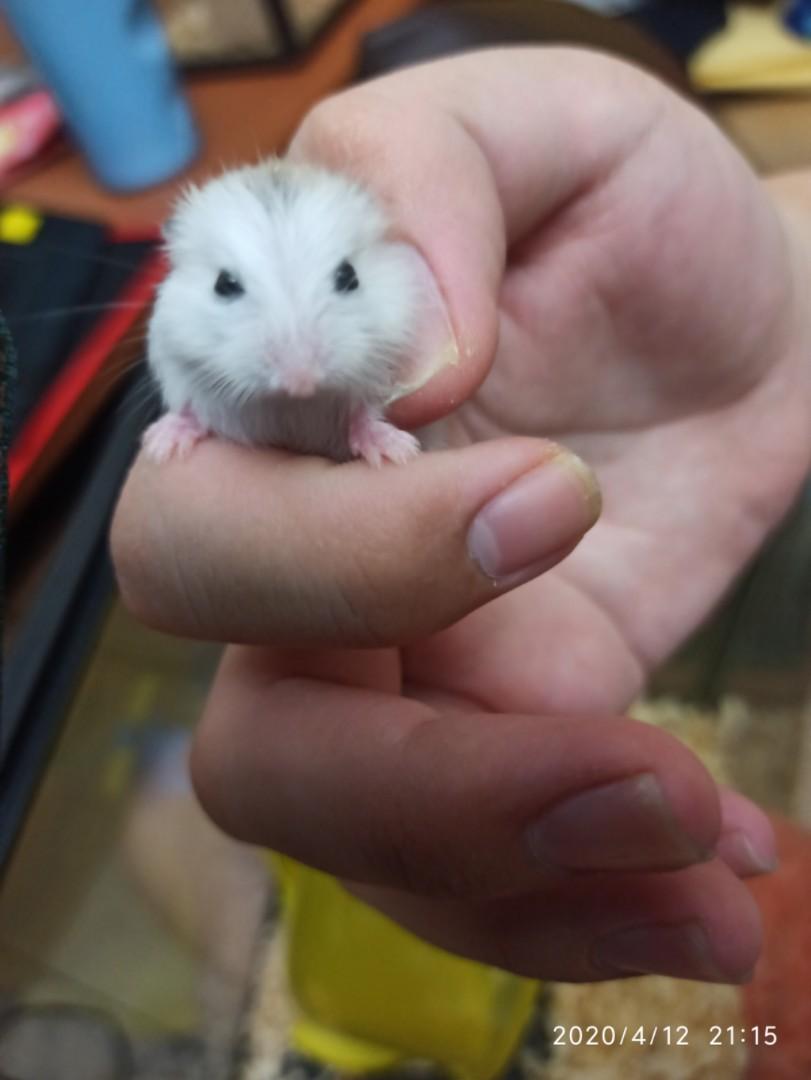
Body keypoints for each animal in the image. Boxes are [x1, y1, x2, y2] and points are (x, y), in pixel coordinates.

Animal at [142, 157, 440, 467]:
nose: (301, 381)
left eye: (349, 275)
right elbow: (191, 410)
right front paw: (159, 447)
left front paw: (399, 452)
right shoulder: (175, 359)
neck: (290, 403)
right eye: (224, 284)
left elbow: (364, 414)